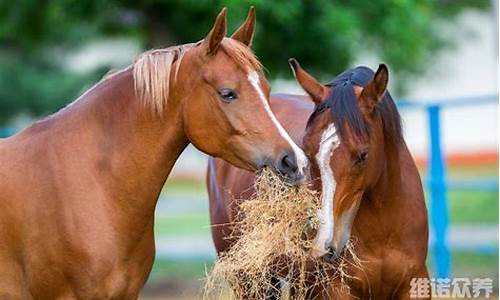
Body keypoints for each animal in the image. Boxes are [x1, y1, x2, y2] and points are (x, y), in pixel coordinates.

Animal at [207, 60, 430, 298]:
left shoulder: (414, 285)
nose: (325, 244)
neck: (383, 230)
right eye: (306, 150)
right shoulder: (334, 289)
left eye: (363, 155)